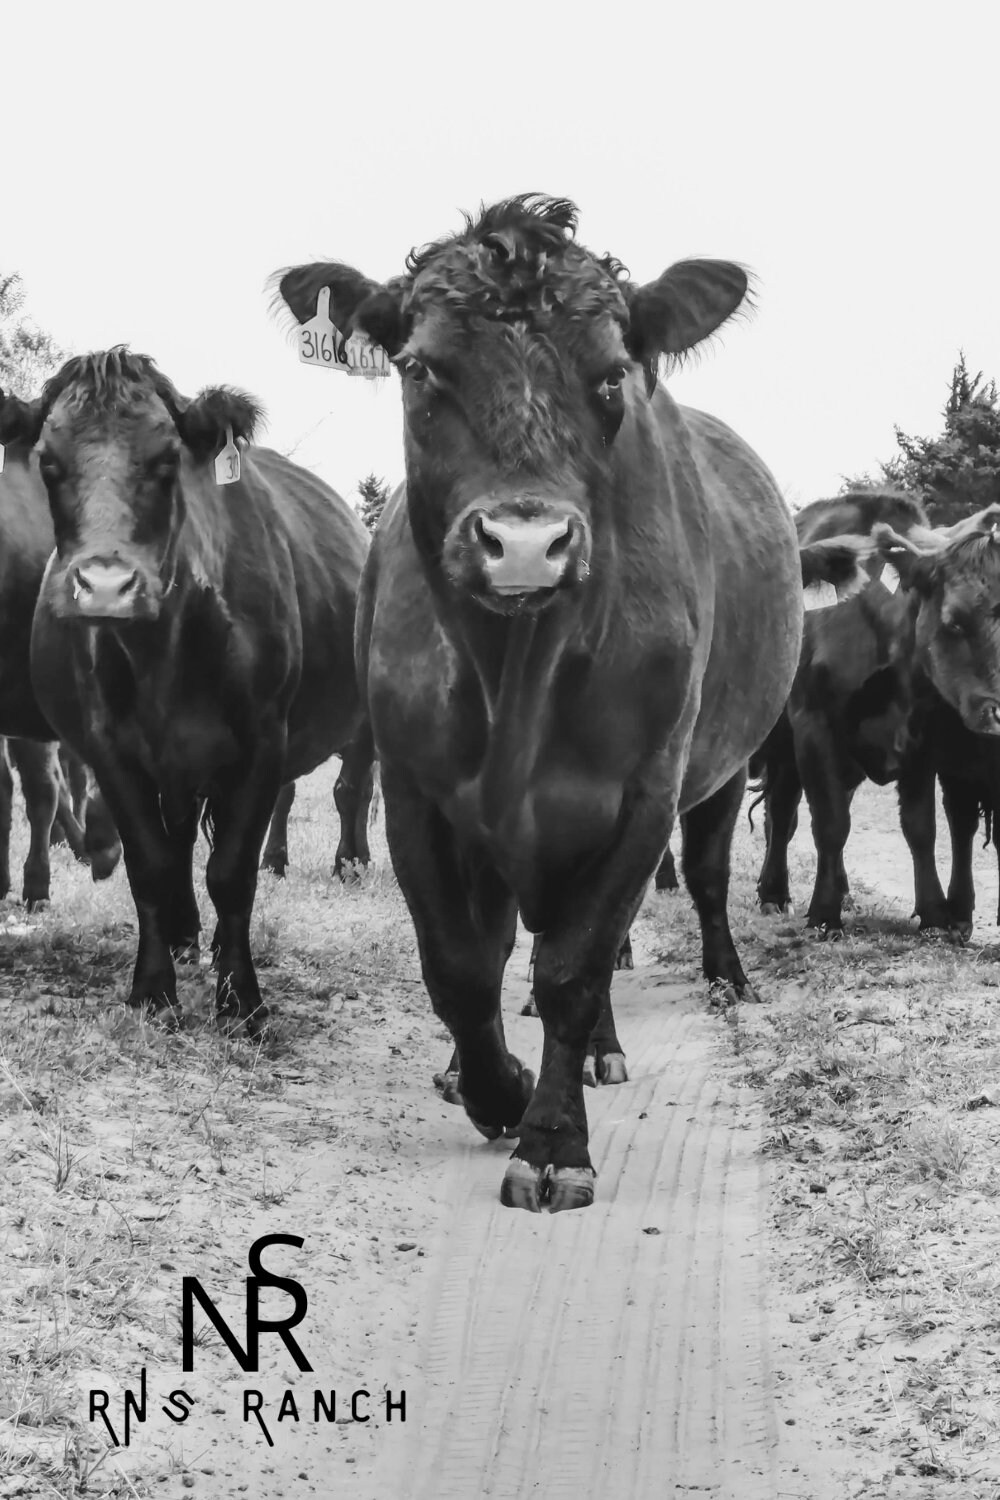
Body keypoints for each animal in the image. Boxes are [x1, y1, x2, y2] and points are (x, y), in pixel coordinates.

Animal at [6, 348, 372, 1035]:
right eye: (48, 463)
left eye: (166, 460)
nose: (105, 586)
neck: (164, 654)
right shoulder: (112, 750)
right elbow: (151, 864)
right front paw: (153, 991)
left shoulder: (262, 743)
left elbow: (231, 873)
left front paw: (243, 1002)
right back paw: (180, 938)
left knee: (351, 789)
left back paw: (350, 865)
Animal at [274, 193, 804, 1211]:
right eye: (419, 367)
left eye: (611, 376)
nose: (525, 543)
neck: (514, 675)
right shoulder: (417, 793)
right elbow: (461, 968)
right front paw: (496, 1087)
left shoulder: (643, 792)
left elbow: (574, 966)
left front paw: (554, 1141)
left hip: (720, 772)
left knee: (700, 879)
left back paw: (701, 991)